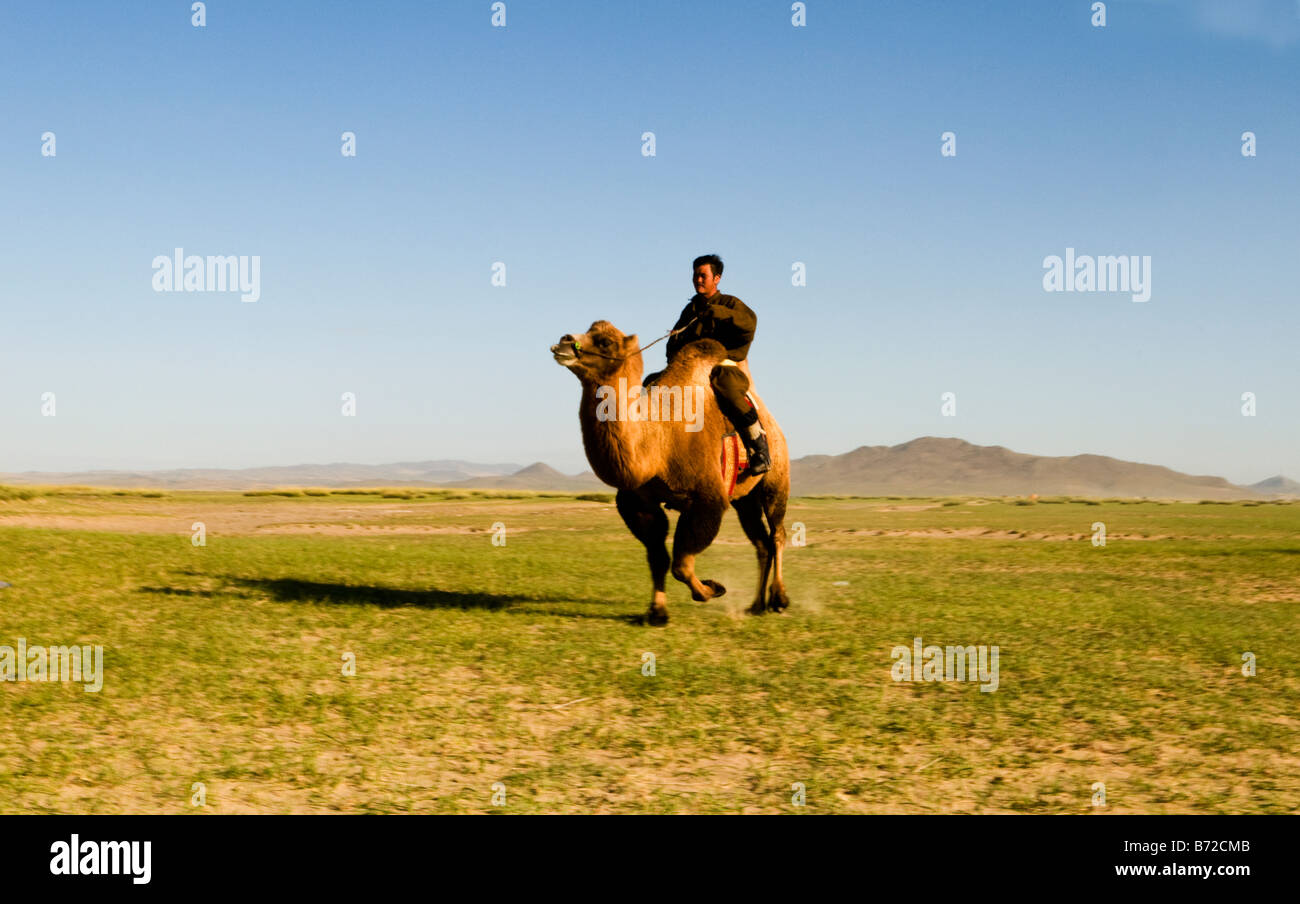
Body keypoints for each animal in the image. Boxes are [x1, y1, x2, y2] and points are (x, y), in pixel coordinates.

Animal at [551, 320, 791, 625]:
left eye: (605, 342)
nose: (563, 341)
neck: (659, 441)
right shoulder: (638, 502)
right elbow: (658, 558)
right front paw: (657, 612)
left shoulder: (708, 499)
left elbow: (681, 563)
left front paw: (712, 589)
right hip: (744, 498)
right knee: (761, 543)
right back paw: (756, 605)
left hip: (776, 478)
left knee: (776, 533)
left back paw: (779, 600)